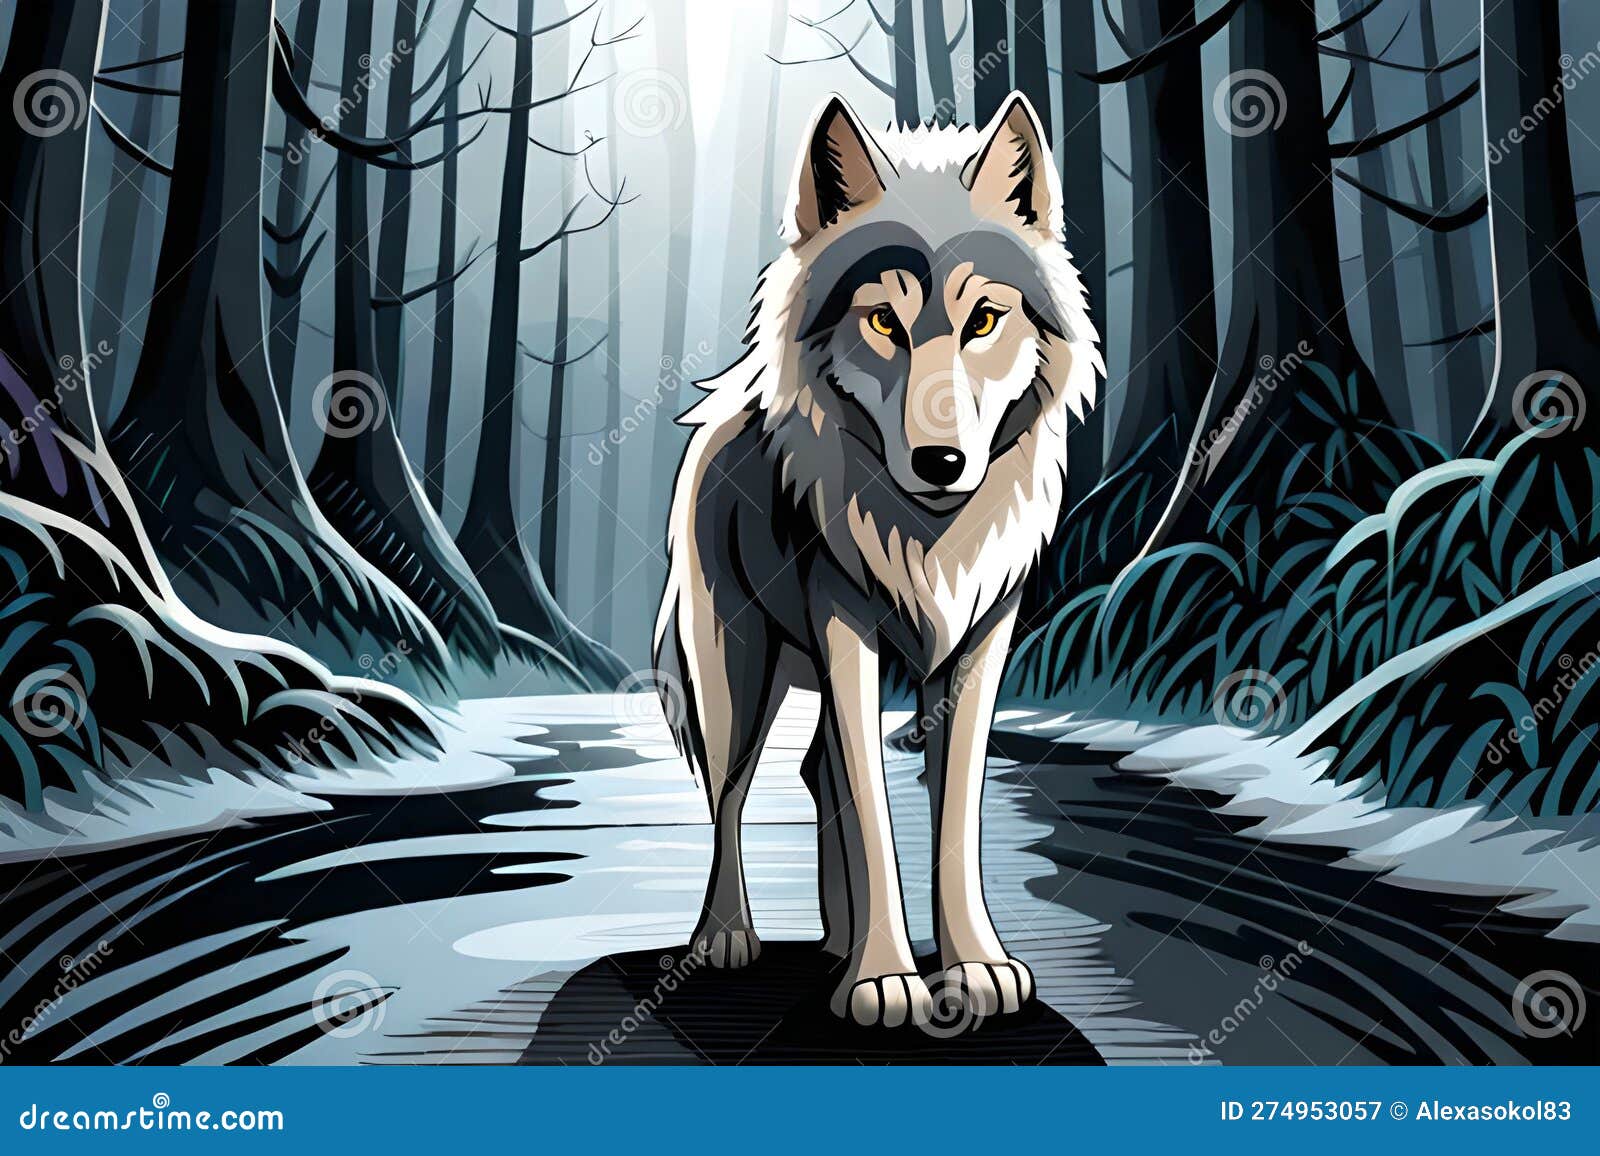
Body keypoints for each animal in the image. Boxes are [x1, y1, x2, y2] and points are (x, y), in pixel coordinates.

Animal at [654, 92, 1101, 1027]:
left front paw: (973, 965)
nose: (942, 462)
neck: (926, 536)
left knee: (812, 769)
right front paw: (884, 979)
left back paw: (832, 939)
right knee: (730, 797)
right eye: (885, 320)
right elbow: (872, 815)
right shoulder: (844, 628)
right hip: (737, 675)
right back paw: (726, 937)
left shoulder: (979, 644)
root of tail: (725, 407)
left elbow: (953, 815)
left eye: (984, 320)